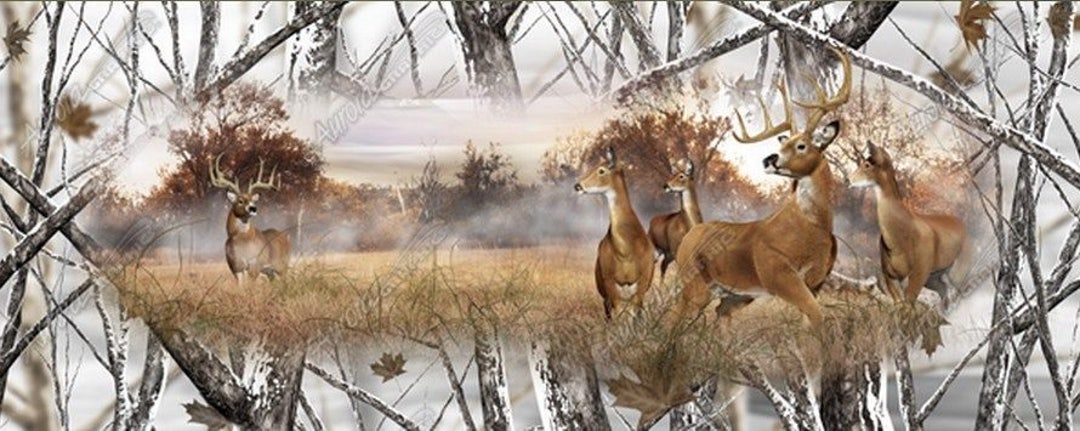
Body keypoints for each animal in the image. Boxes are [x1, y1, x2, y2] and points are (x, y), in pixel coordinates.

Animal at [208, 154, 291, 285]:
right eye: (240, 200)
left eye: (253, 200)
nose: (253, 208)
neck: (242, 241)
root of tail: (286, 236)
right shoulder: (235, 266)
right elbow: (241, 286)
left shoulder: (255, 264)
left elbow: (250, 286)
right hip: (269, 271)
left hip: (282, 265)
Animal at [575, 147, 656, 320]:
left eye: (601, 170)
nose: (578, 186)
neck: (625, 249)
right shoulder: (610, 282)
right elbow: (618, 317)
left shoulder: (642, 282)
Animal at [673, 47, 851, 327]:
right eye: (783, 143)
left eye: (801, 145)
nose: (769, 159)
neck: (814, 227)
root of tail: (690, 234)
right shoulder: (777, 273)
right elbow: (817, 316)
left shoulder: (816, 282)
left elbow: (811, 323)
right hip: (695, 283)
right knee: (675, 316)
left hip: (735, 294)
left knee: (719, 314)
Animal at [850, 142, 967, 307]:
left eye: (867, 164)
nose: (850, 179)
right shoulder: (889, 274)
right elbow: (899, 304)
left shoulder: (919, 271)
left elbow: (908, 304)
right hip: (935, 275)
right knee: (944, 290)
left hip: (958, 269)